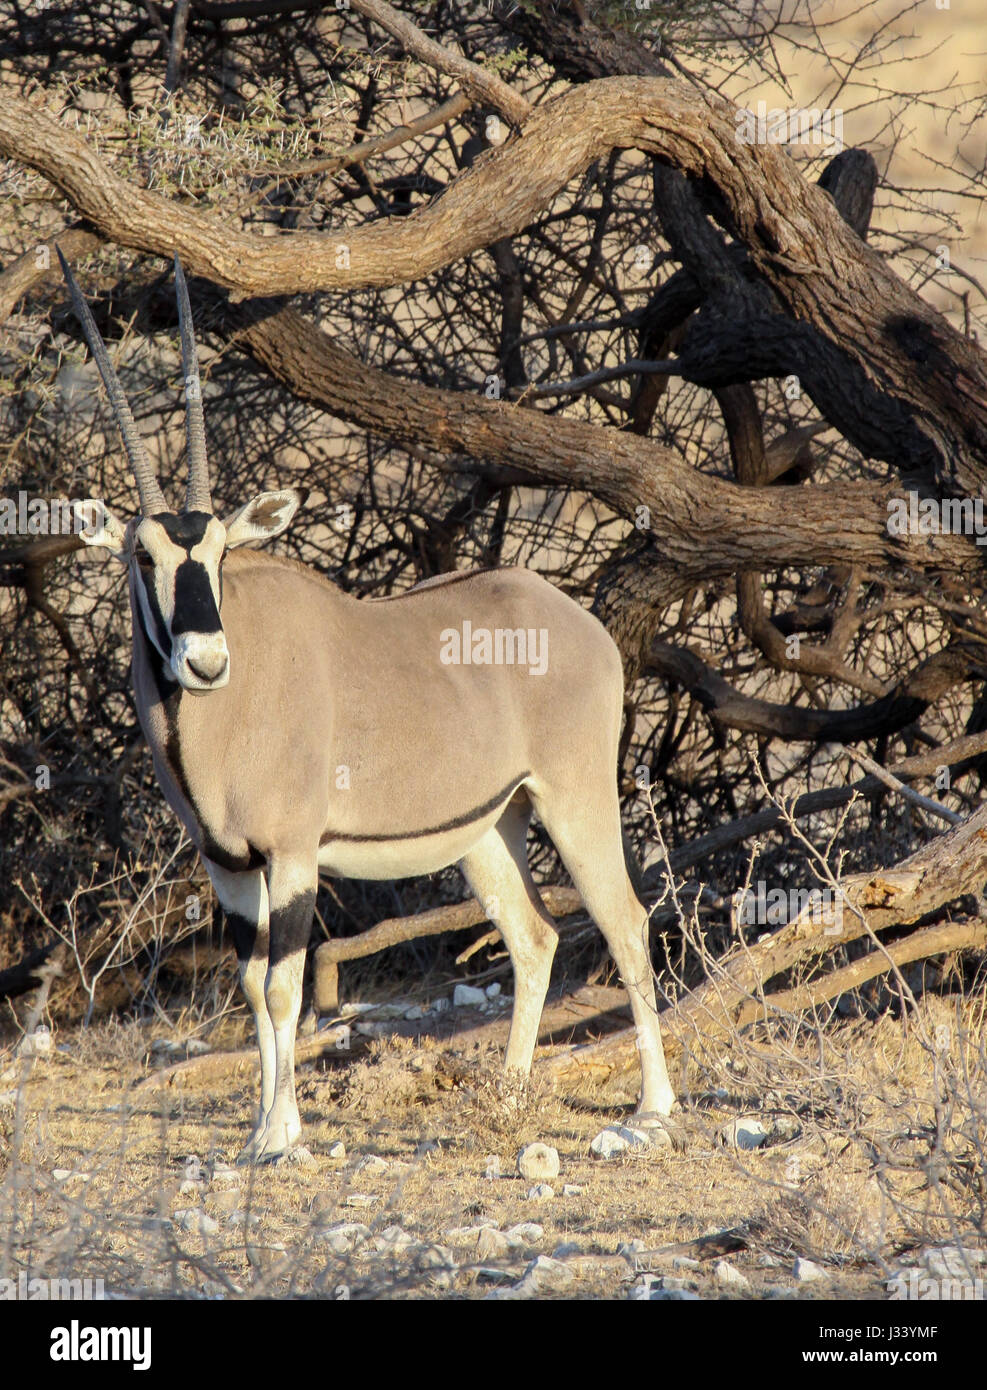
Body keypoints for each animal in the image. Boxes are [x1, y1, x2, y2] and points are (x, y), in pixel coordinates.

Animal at [60, 254, 676, 1162]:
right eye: (143, 554)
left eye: (218, 551)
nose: (205, 662)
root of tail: (574, 618)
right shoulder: (228, 865)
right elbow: (251, 984)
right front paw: (264, 1127)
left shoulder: (292, 856)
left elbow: (283, 988)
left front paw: (279, 1136)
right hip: (489, 827)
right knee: (533, 938)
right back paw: (508, 1095)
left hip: (575, 800)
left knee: (627, 923)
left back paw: (652, 1109)